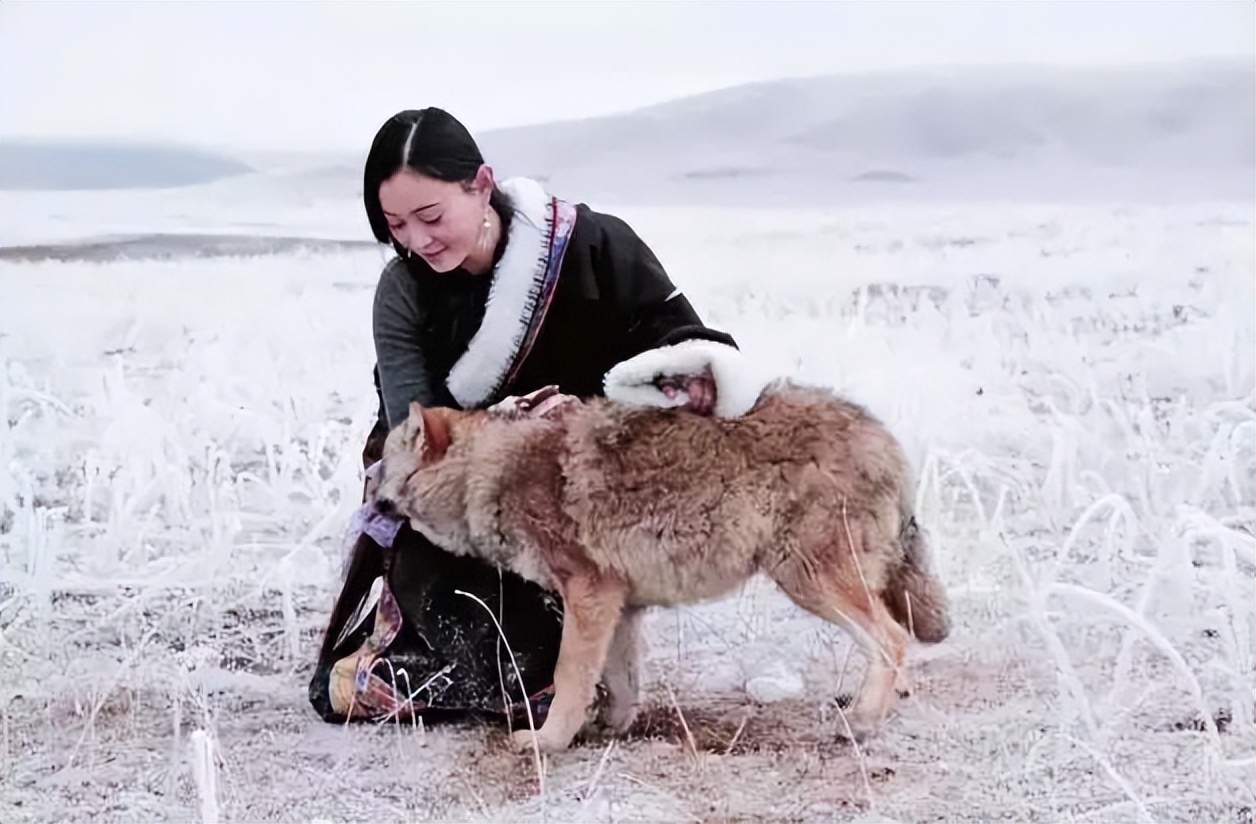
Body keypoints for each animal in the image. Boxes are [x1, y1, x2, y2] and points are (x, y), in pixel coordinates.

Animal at [374, 380, 950, 753]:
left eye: (382, 462)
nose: (367, 483)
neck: (491, 472)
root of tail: (884, 440)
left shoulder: (588, 594)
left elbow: (570, 678)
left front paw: (548, 741)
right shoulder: (618, 606)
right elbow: (618, 682)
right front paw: (610, 729)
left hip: (807, 582)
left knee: (892, 639)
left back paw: (863, 722)